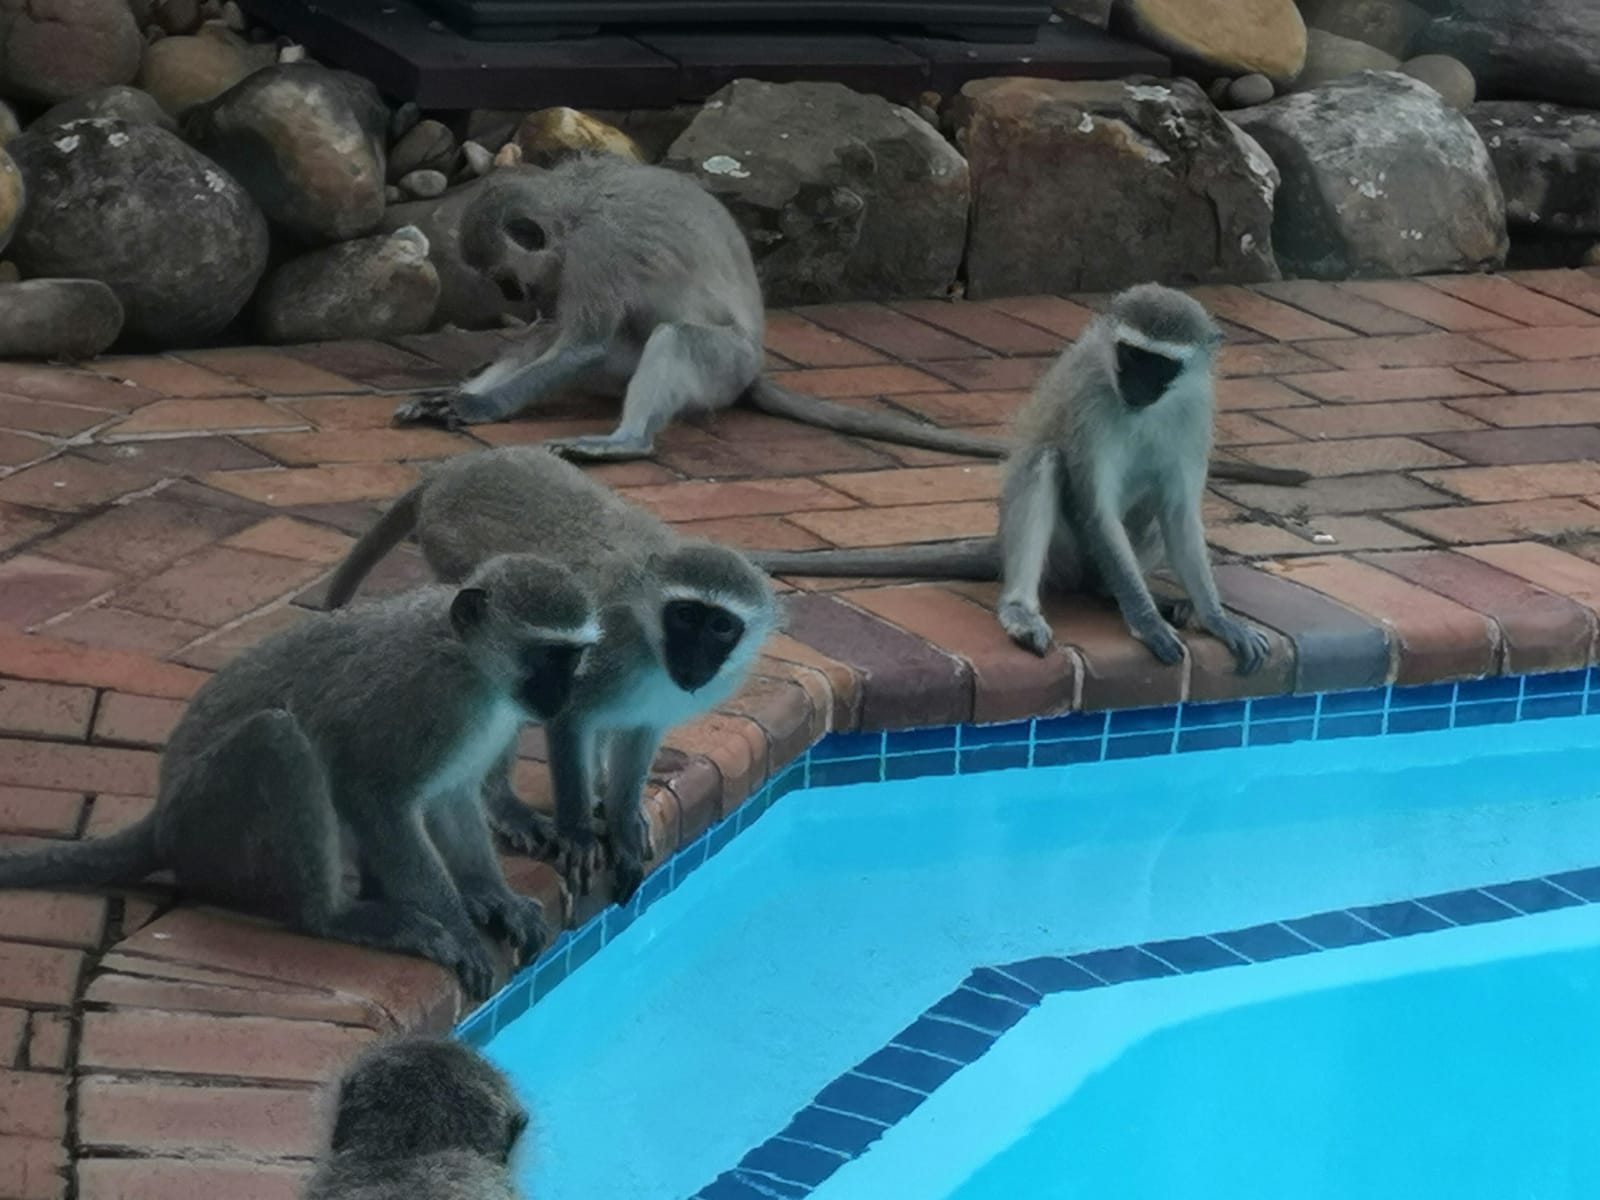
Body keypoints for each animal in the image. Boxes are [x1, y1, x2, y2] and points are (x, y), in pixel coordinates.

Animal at [0, 554, 598, 1001]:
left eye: (572, 658)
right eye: (548, 655)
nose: (563, 693)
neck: (470, 662)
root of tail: (163, 820)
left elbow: (453, 797)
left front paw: (490, 894)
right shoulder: (423, 697)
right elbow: (371, 792)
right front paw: (460, 930)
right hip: (209, 822)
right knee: (278, 739)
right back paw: (336, 916)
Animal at [321, 445, 780, 902]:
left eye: (720, 626)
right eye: (685, 616)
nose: (693, 658)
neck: (650, 637)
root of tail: (456, 467)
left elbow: (637, 732)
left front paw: (622, 823)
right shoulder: (610, 653)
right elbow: (569, 717)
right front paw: (578, 833)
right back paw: (506, 805)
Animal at [388, 156, 1303, 488]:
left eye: (508, 279)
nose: (522, 301)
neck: (573, 206)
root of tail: (755, 370)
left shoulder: (596, 258)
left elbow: (573, 340)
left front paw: (475, 404)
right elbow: (550, 342)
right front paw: (454, 392)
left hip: (721, 369)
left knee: (674, 341)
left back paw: (629, 441)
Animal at [748, 283, 1272, 676]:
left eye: (1159, 365)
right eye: (1131, 355)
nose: (1136, 386)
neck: (1145, 408)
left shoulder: (1196, 409)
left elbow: (1181, 509)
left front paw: (1217, 619)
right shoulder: (1091, 399)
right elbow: (1095, 506)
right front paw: (1147, 624)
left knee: (1159, 507)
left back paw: (1139, 597)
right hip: (1065, 555)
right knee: (1046, 463)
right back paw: (1024, 609)